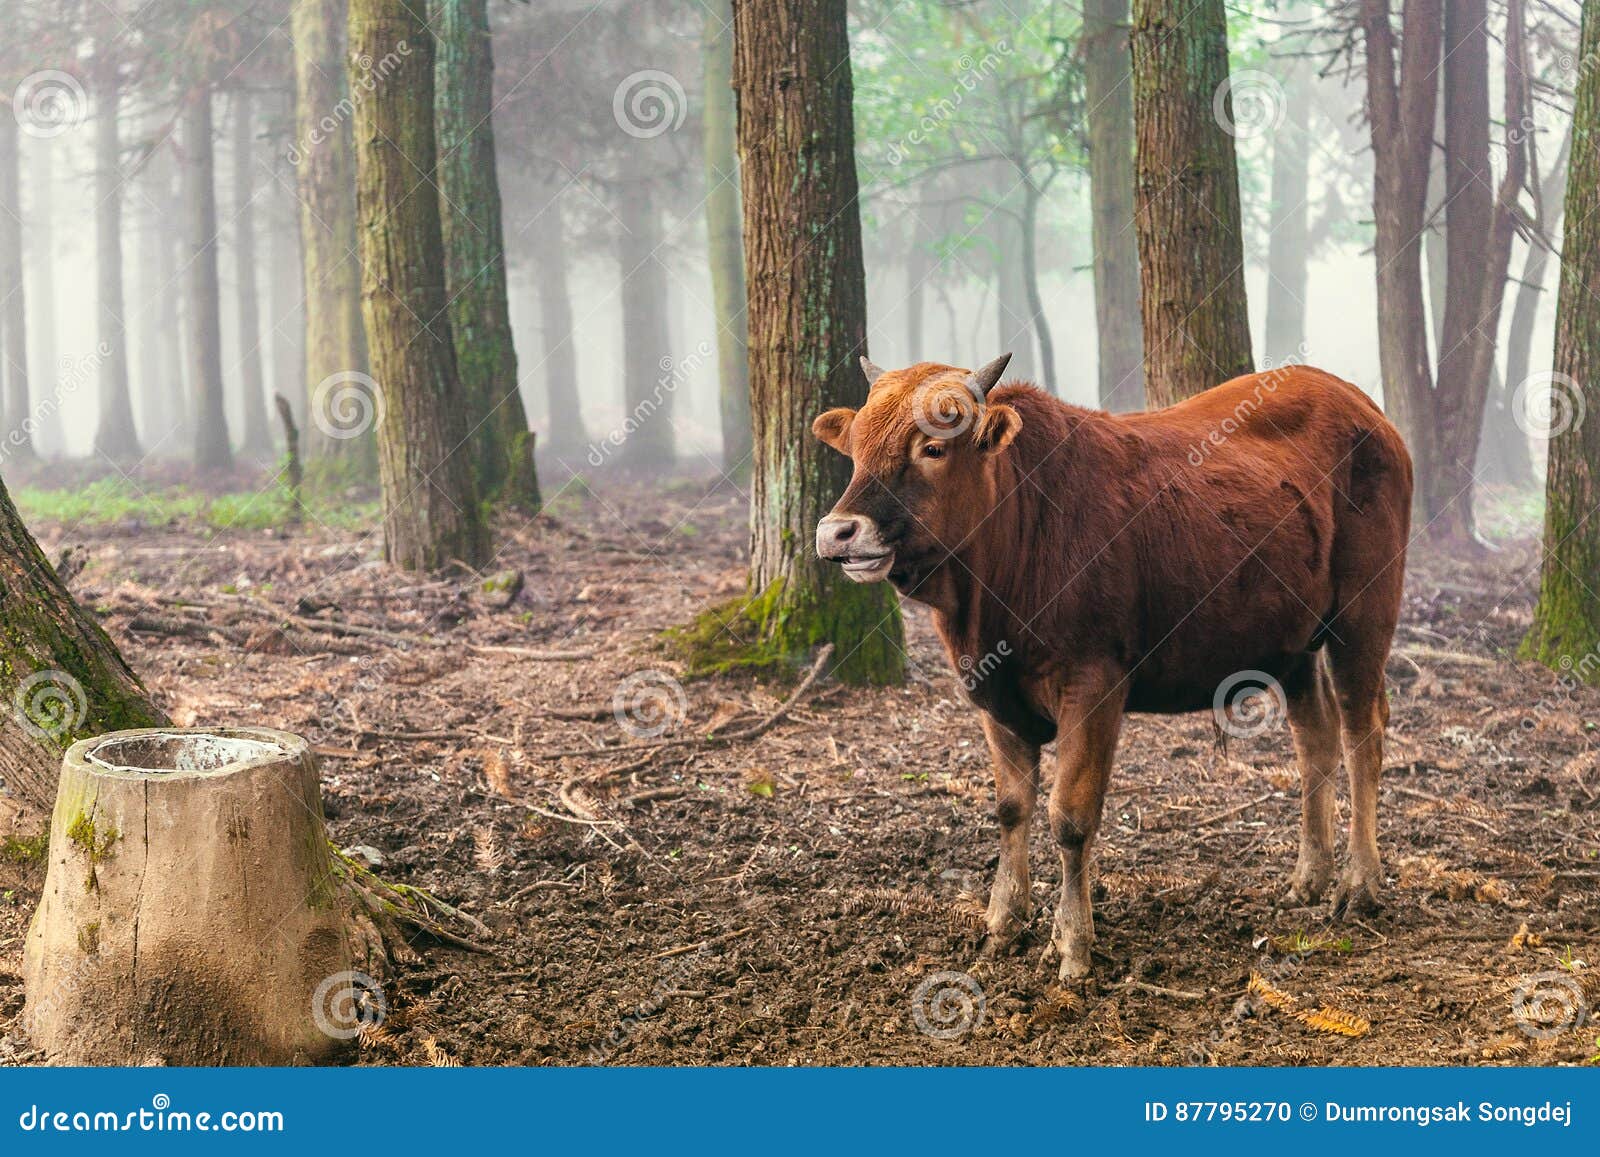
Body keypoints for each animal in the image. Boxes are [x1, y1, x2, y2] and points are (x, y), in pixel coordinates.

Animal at [813, 356, 1412, 980]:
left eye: (932, 447)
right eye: (855, 449)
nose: (836, 531)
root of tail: (1361, 407)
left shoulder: (1094, 685)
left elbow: (1070, 817)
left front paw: (1073, 944)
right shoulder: (994, 694)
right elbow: (1011, 808)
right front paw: (1003, 922)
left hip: (1363, 618)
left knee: (1362, 732)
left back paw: (1359, 885)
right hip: (1292, 644)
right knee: (1314, 737)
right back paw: (1308, 879)